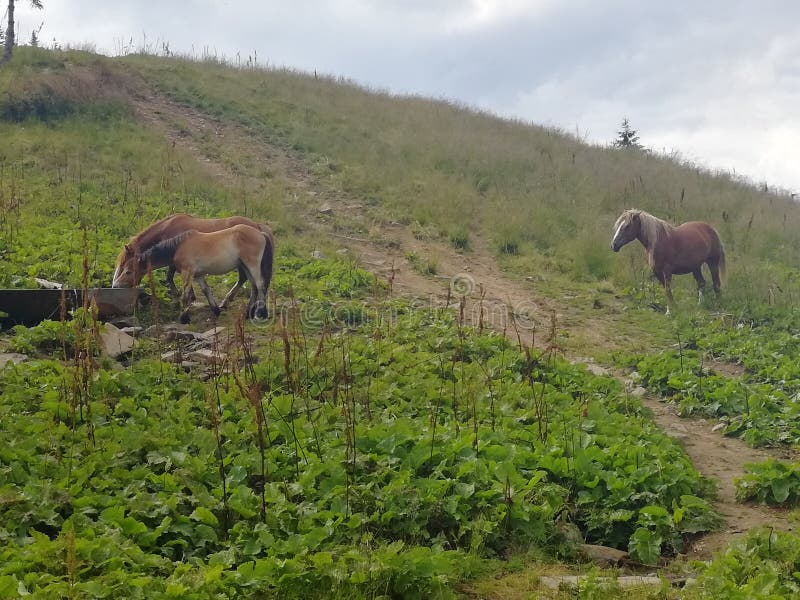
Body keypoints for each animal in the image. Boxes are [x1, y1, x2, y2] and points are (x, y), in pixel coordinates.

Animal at [114, 224, 274, 324]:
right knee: (254, 287)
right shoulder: (198, 275)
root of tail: (260, 233)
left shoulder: (187, 273)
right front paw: (216, 311)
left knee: (260, 286)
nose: (116, 285)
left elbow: (185, 296)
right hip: (245, 266)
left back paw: (261, 313)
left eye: (128, 271)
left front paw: (183, 318)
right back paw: (248, 313)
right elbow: (206, 290)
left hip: (252, 265)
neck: (178, 247)